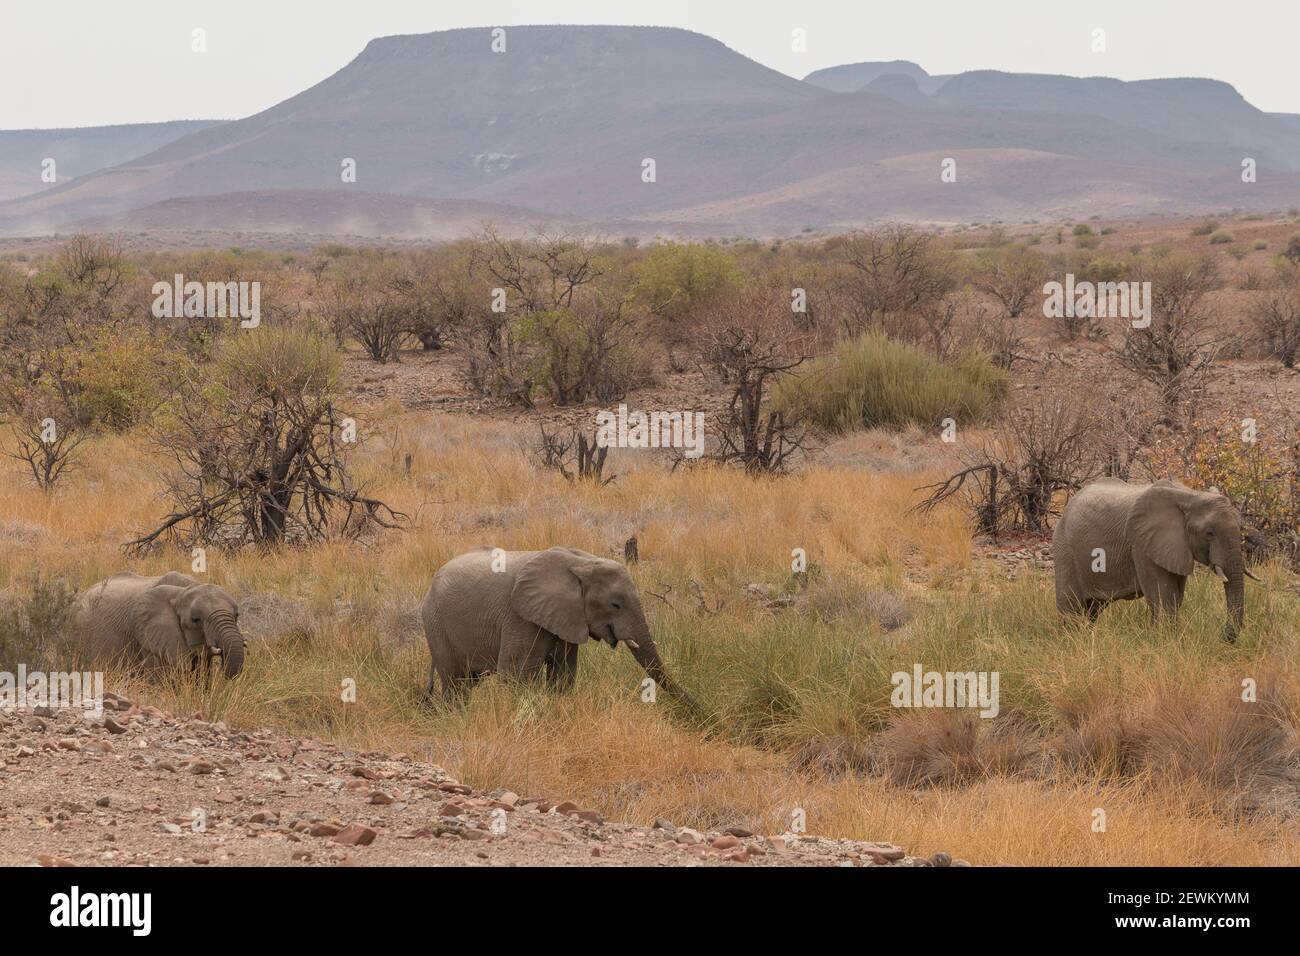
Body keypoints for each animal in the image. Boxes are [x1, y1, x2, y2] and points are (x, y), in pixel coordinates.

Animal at [420, 546, 690, 704]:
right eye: (615, 604)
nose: (694, 711)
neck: (581, 563)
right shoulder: (520, 617)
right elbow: (517, 673)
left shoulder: (565, 616)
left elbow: (563, 673)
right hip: (435, 622)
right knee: (455, 682)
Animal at [1052, 479, 1246, 640]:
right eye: (1209, 533)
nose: (1223, 637)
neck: (1191, 495)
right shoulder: (1142, 544)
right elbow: (1162, 597)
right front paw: (1165, 642)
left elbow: (1175, 598)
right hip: (1065, 550)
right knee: (1072, 607)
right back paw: (1070, 641)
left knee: (1092, 608)